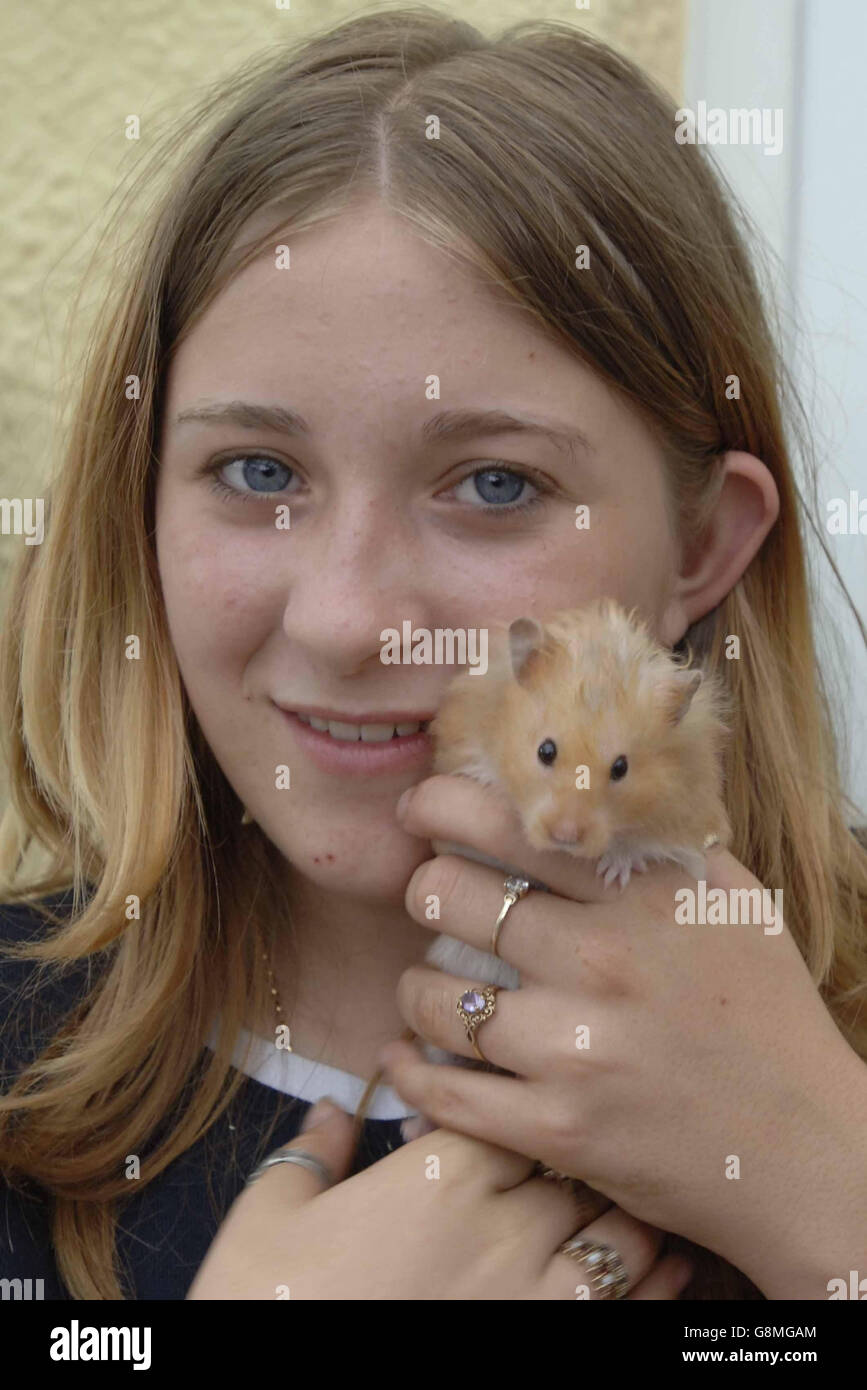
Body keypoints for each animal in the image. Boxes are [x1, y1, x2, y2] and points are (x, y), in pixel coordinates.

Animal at [400, 596, 732, 1143]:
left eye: (621, 767)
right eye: (546, 750)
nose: (565, 836)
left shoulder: (687, 814)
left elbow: (648, 842)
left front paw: (614, 870)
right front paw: (490, 787)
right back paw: (414, 1127)